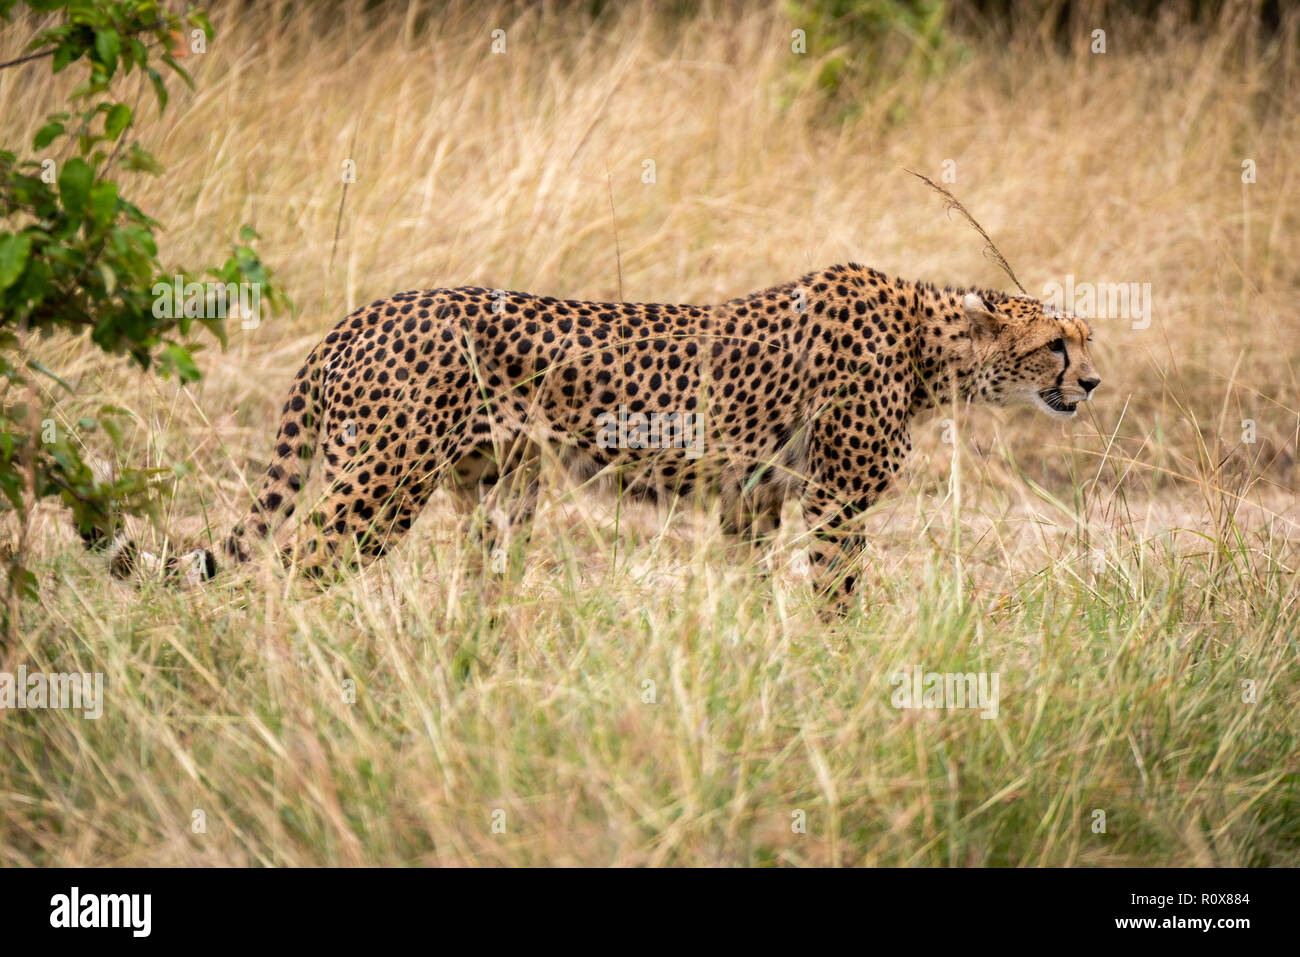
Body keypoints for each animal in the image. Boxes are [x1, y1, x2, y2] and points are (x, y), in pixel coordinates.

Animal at [101, 263, 1100, 598]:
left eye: (1086, 340)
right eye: (1056, 343)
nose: (1091, 382)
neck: (932, 344)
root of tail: (364, 311)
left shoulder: (751, 499)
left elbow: (750, 588)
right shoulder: (836, 500)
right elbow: (839, 594)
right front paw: (839, 668)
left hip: (496, 484)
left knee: (481, 575)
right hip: (383, 480)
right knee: (298, 562)